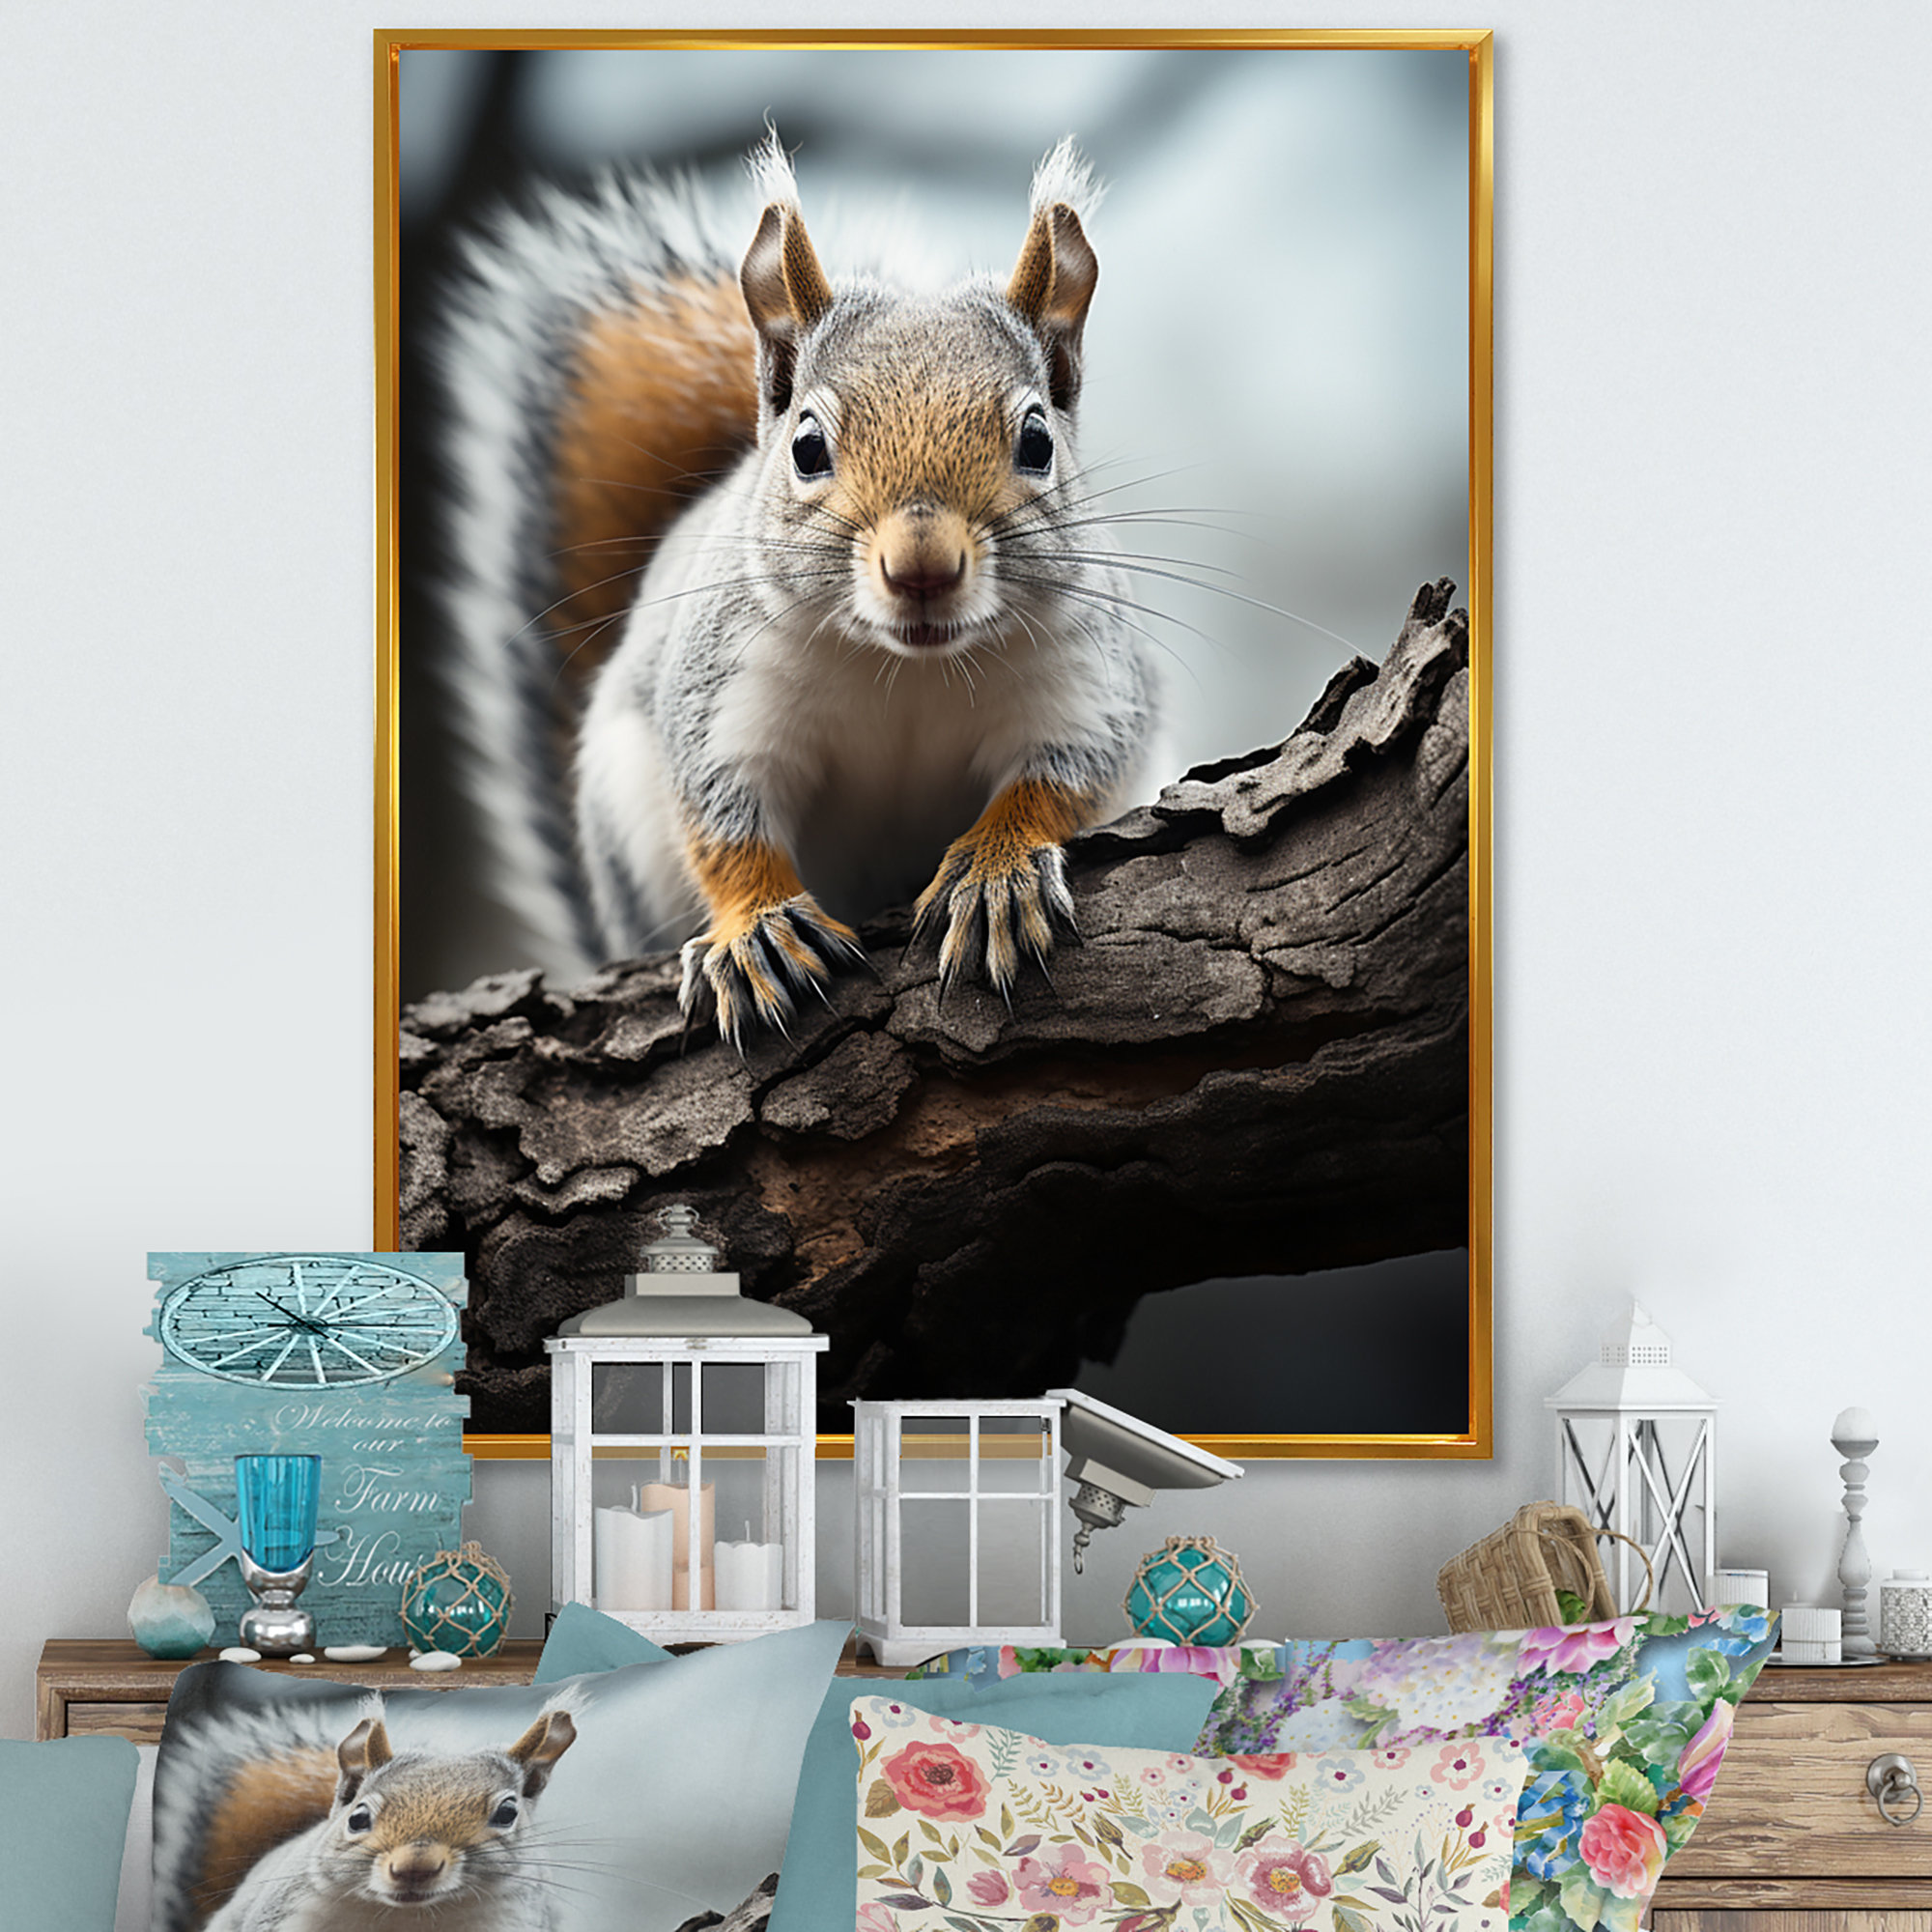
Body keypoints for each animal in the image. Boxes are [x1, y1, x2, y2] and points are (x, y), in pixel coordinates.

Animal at [436, 132, 1157, 1043]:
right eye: (807, 447)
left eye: (1038, 441)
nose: (921, 567)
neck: (907, 669)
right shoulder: (724, 690)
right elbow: (723, 819)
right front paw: (756, 929)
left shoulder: (1083, 677)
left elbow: (1062, 775)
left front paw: (1000, 873)